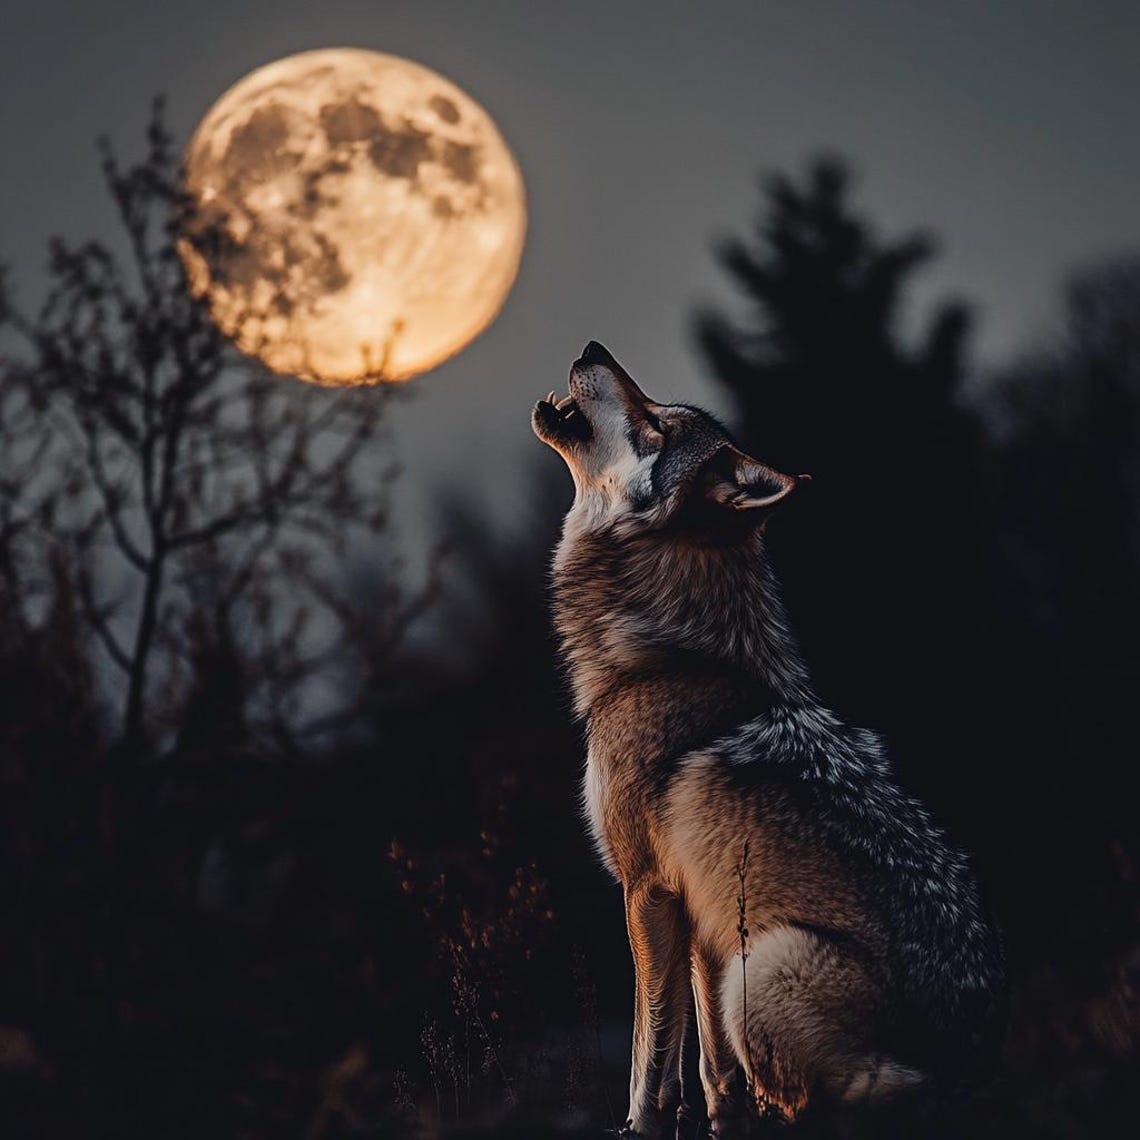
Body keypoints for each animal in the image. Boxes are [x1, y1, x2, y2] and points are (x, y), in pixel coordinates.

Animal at [532, 342, 1006, 1137]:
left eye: (657, 426)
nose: (594, 349)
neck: (667, 653)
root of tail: (981, 1052)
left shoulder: (646, 889)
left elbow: (647, 1053)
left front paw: (638, 1128)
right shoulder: (699, 910)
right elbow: (705, 1066)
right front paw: (719, 1124)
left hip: (766, 963)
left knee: (856, 1095)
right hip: (741, 959)